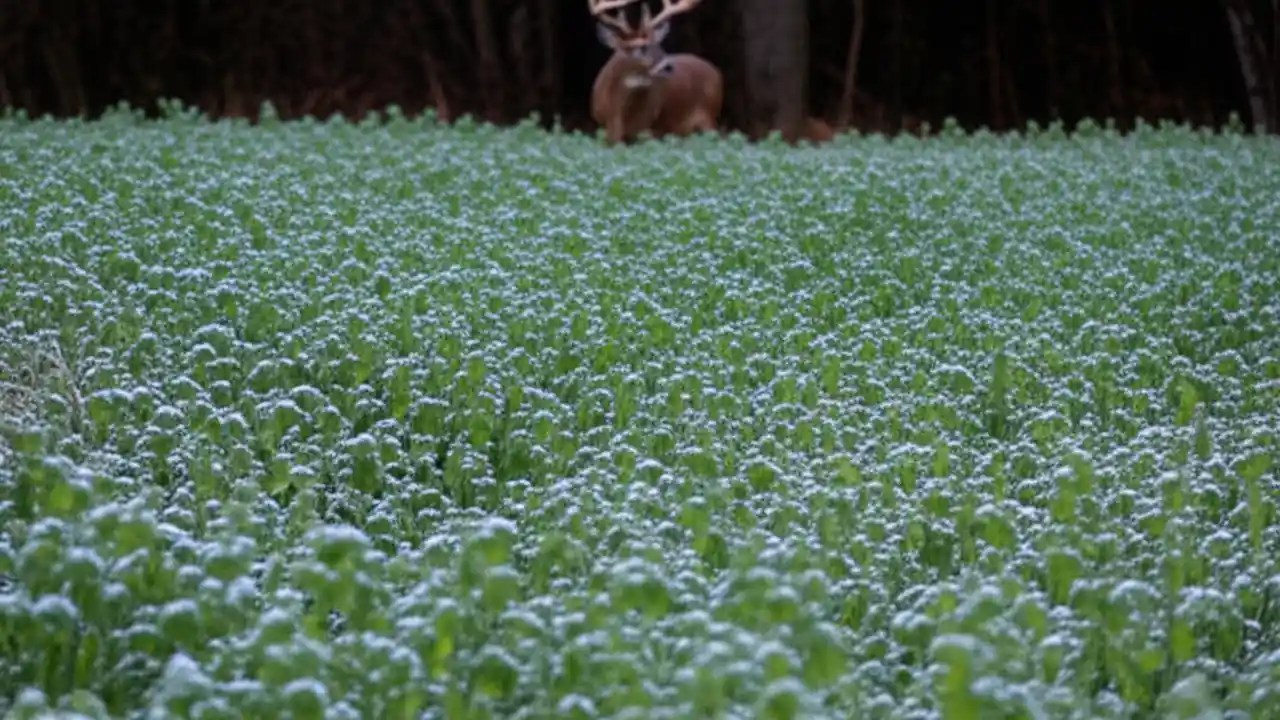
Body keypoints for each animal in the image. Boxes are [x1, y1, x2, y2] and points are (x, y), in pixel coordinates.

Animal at [588, 0, 723, 145]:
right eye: (641, 48)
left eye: (659, 45)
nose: (668, 67)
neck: (617, 113)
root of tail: (715, 70)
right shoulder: (605, 128)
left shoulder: (646, 128)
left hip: (709, 116)